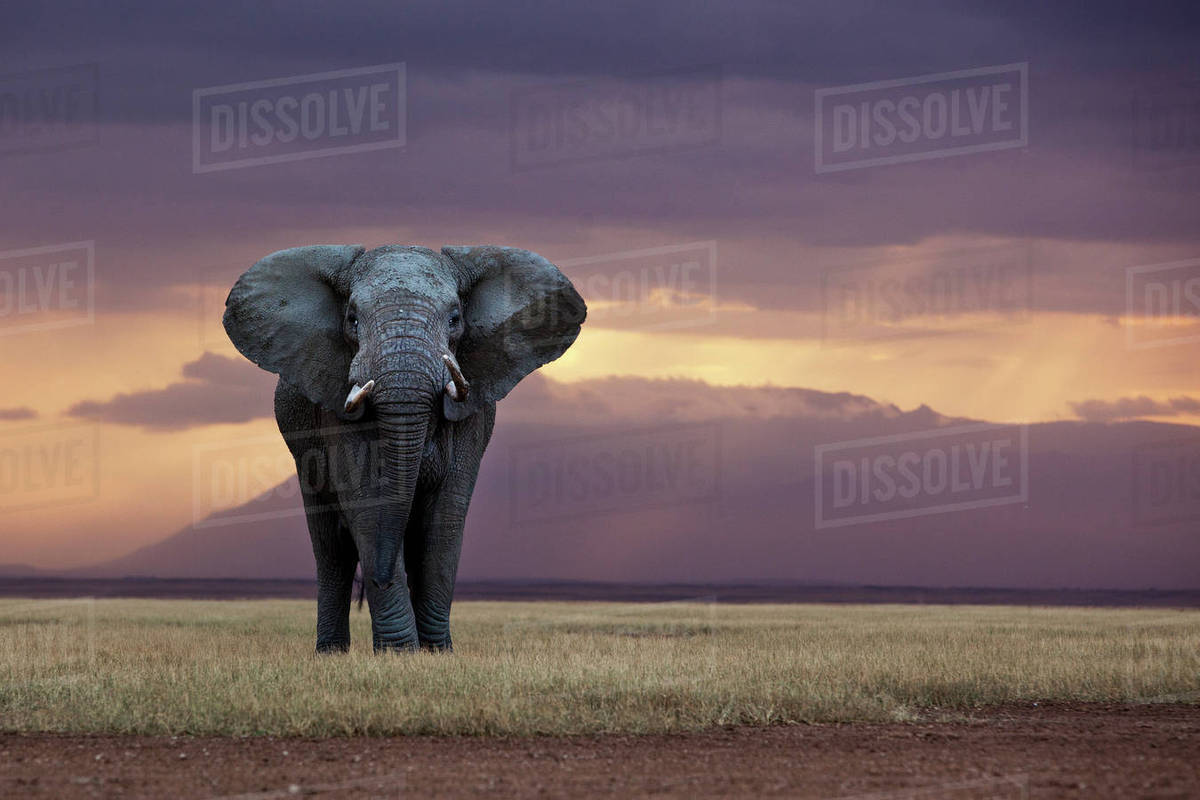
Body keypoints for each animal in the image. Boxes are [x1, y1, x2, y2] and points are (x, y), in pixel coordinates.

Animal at [223, 245, 586, 652]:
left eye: (455, 318)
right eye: (352, 319)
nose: (376, 581)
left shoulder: (473, 414)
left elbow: (445, 518)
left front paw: (436, 653)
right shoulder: (335, 408)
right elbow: (368, 506)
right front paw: (399, 653)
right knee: (332, 546)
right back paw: (331, 653)